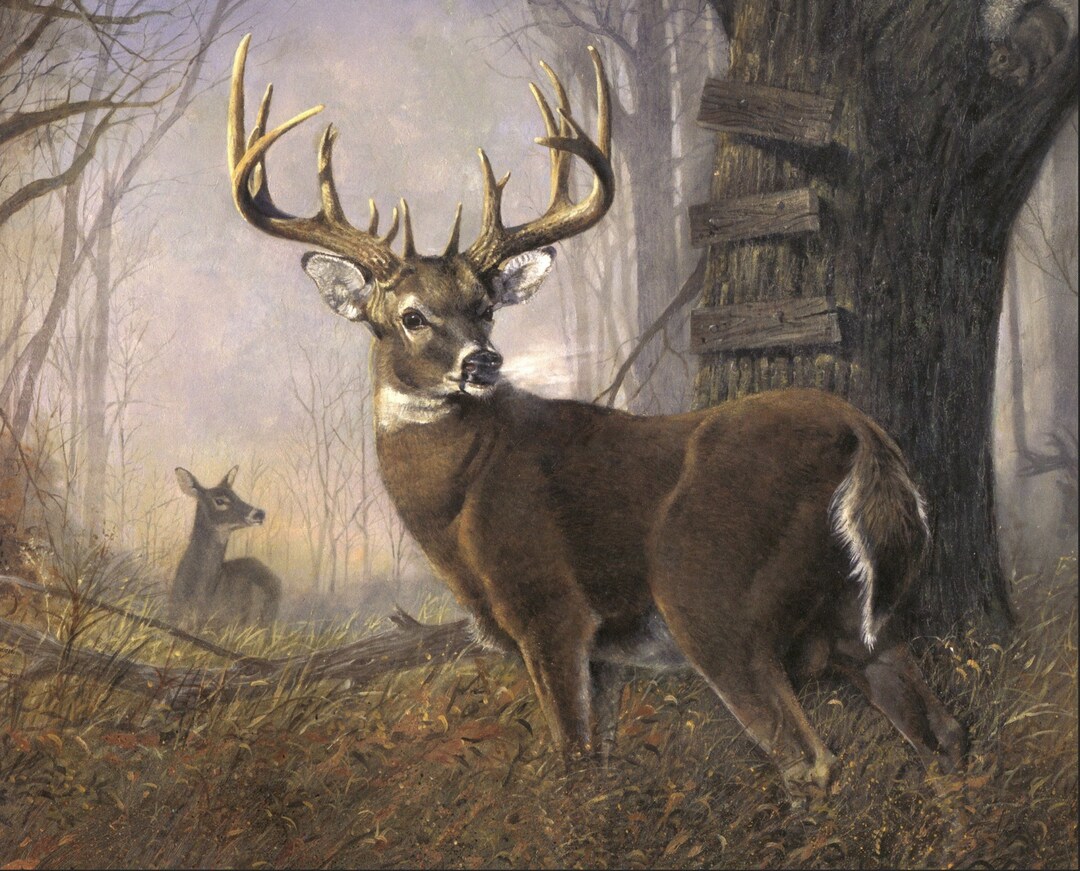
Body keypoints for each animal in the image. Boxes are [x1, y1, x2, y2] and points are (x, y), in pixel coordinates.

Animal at [225, 34, 965, 799]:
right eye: (410, 316)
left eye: (484, 306)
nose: (482, 361)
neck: (460, 505)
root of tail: (861, 432)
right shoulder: (600, 649)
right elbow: (602, 759)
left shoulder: (550, 610)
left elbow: (573, 758)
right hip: (861, 620)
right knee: (944, 733)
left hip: (714, 599)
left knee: (808, 756)